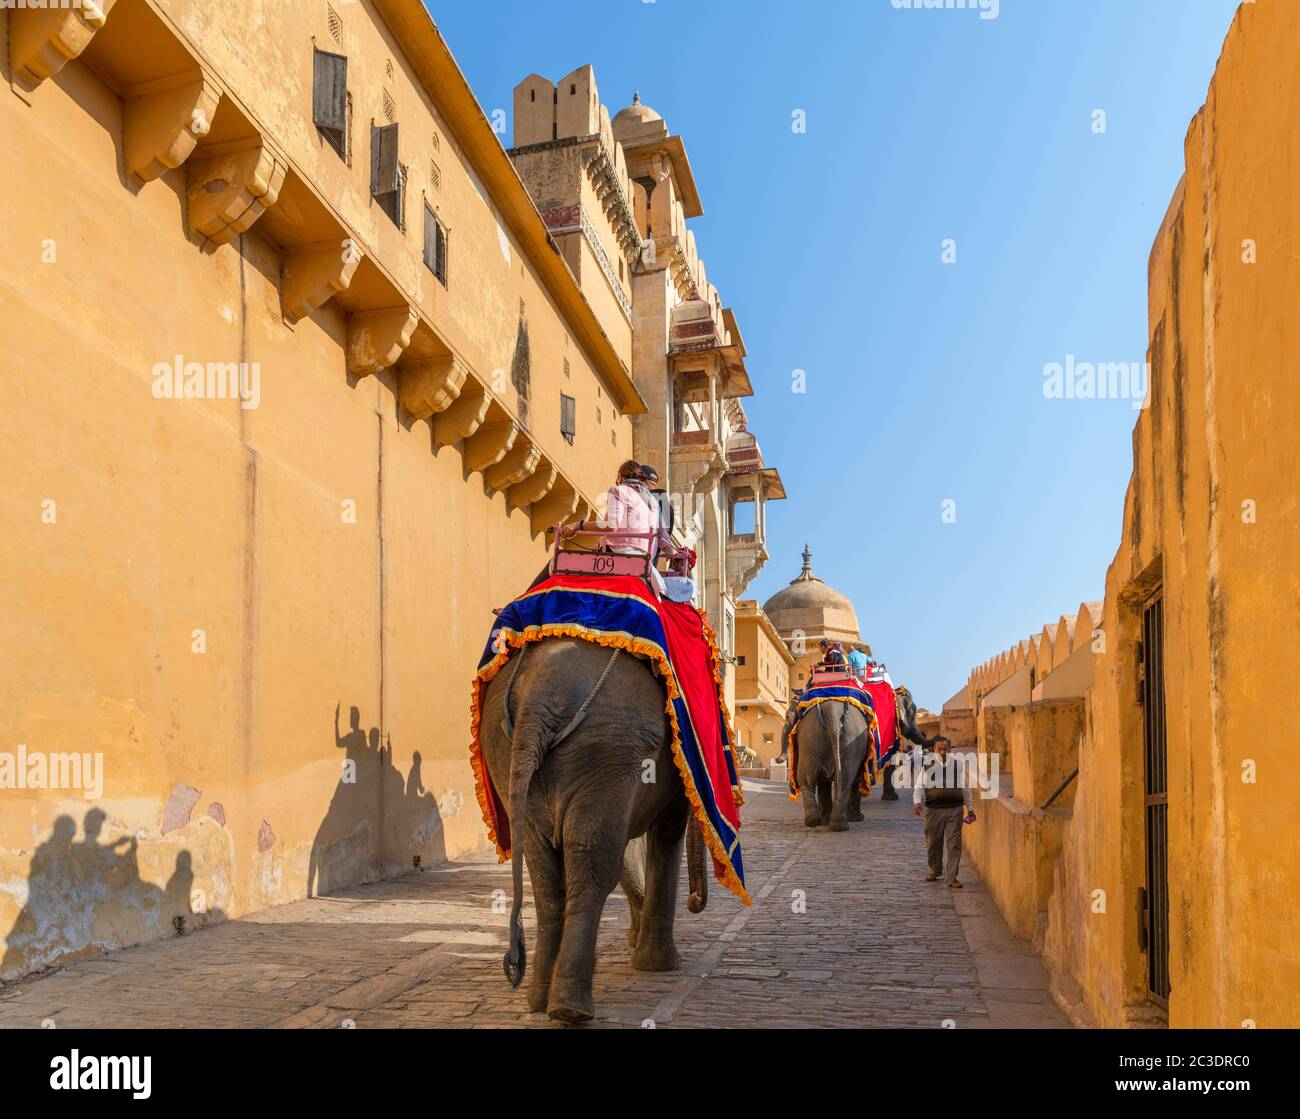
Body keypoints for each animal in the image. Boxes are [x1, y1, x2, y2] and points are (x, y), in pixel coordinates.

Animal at [790, 696, 873, 831]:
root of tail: (832, 711)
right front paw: (857, 819)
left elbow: (823, 781)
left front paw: (824, 822)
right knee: (844, 779)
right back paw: (838, 825)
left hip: (810, 739)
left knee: (807, 776)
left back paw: (816, 821)